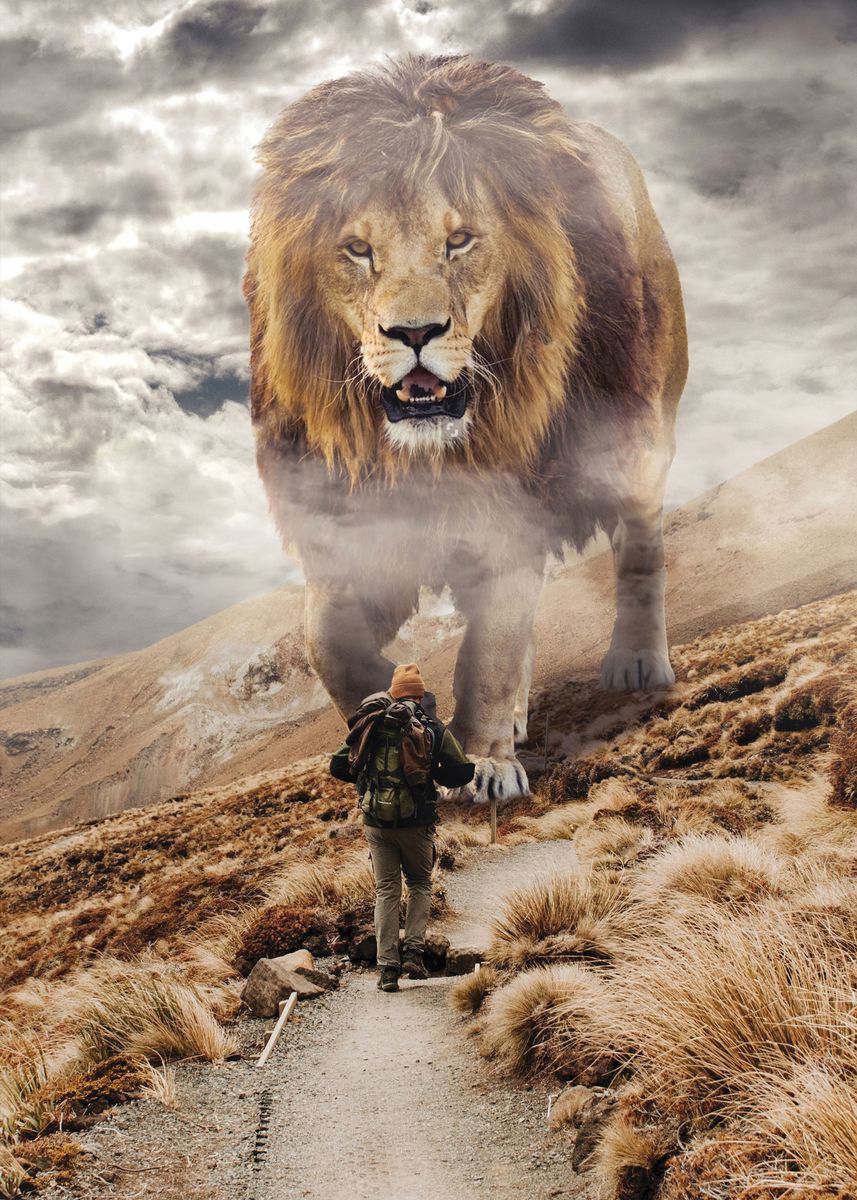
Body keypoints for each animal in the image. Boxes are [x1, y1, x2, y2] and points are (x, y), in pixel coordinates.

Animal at [244, 55, 688, 803]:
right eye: (357, 250)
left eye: (458, 241)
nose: (414, 332)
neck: (419, 458)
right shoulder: (344, 527)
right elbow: (330, 646)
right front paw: (400, 710)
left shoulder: (514, 502)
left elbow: (491, 649)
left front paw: (480, 760)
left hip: (637, 435)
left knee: (639, 546)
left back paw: (634, 662)